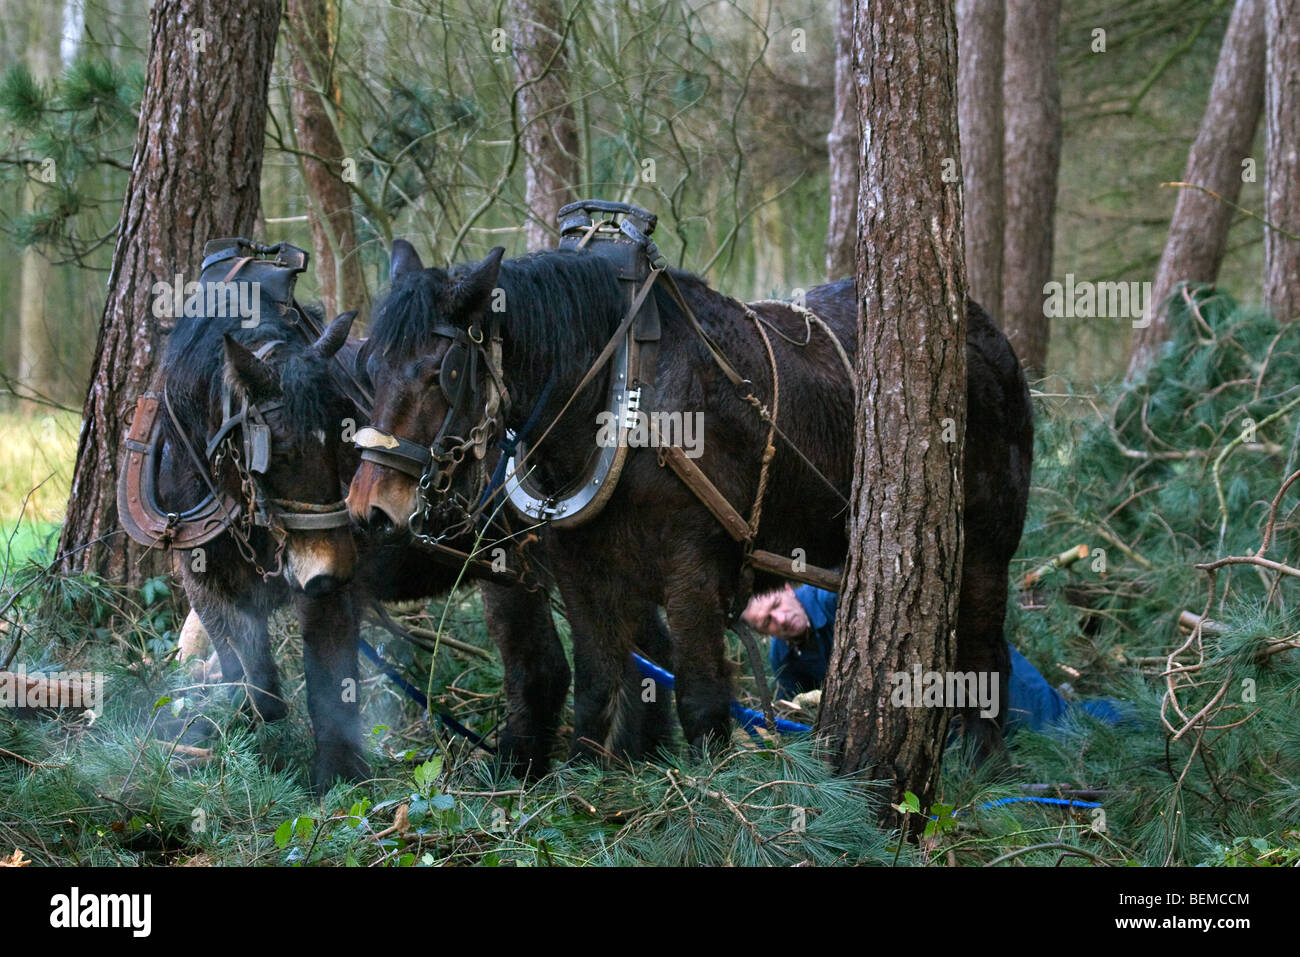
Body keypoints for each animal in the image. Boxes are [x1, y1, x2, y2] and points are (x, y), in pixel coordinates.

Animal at [348, 236, 1033, 761]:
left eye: (442, 373)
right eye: (370, 367)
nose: (369, 511)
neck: (619, 395)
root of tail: (987, 334)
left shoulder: (692, 567)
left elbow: (700, 694)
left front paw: (708, 794)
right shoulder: (581, 568)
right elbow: (601, 681)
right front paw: (593, 785)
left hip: (984, 549)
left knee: (986, 655)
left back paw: (979, 764)